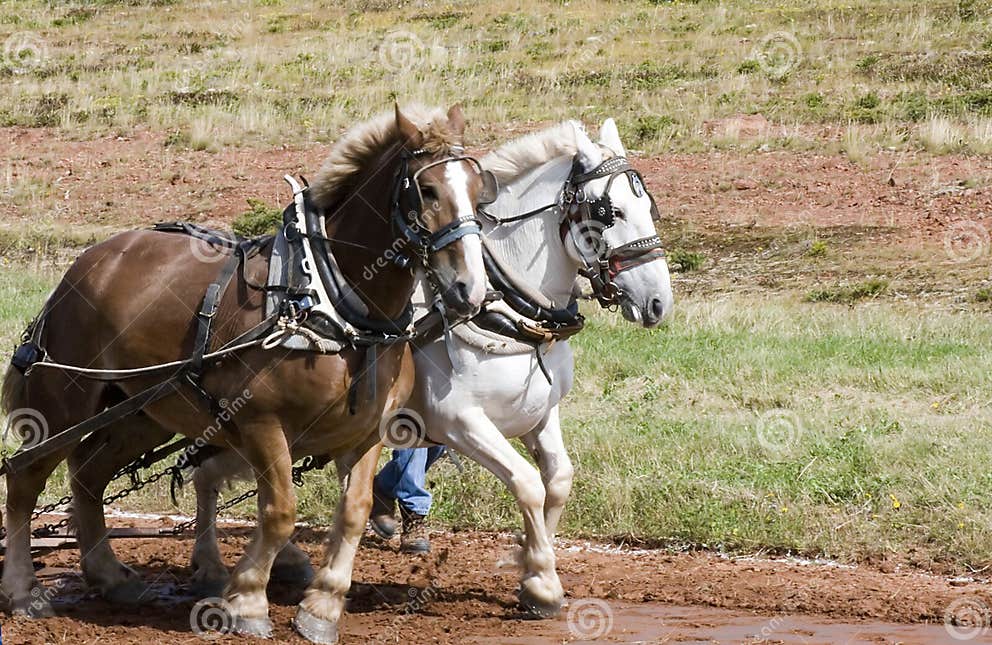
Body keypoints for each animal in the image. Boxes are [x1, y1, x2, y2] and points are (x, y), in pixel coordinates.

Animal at [0, 104, 492, 642]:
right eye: (427, 190)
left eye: (479, 188)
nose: (471, 288)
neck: (331, 301)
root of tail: (86, 264)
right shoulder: (261, 422)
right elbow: (279, 513)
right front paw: (248, 599)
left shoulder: (365, 433)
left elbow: (354, 513)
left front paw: (322, 608)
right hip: (64, 403)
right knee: (24, 479)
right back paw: (24, 592)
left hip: (143, 412)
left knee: (88, 475)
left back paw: (110, 577)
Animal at [187, 118, 674, 624]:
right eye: (610, 212)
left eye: (648, 206)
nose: (660, 301)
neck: (503, 305)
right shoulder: (460, 421)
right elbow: (527, 483)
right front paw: (541, 583)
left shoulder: (540, 413)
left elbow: (558, 480)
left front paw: (531, 564)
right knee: (210, 476)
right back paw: (218, 567)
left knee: (224, 477)